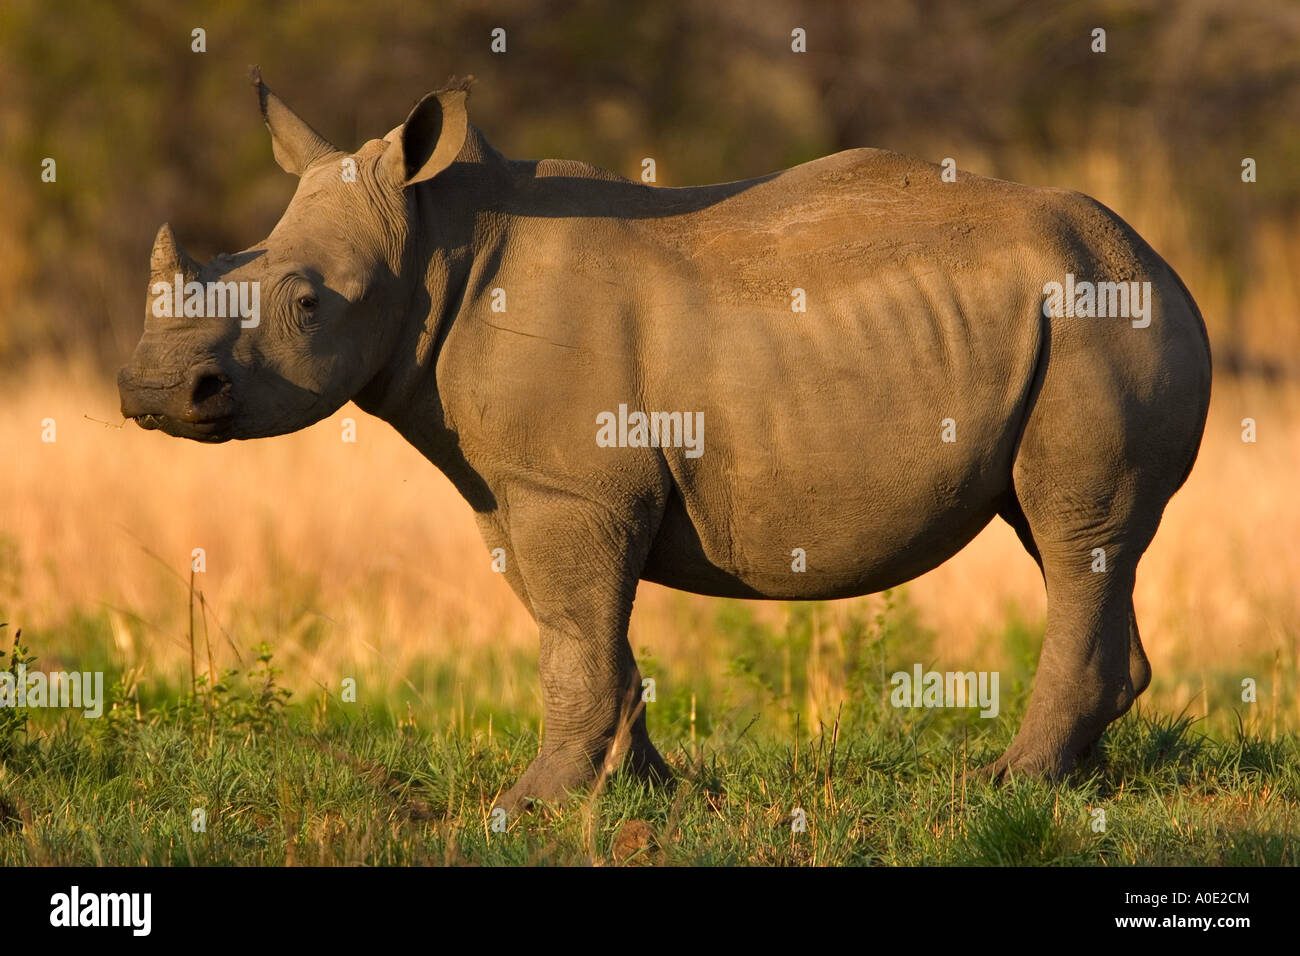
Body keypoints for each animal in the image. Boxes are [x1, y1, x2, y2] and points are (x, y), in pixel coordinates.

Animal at [119, 72, 1212, 812]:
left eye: (306, 304)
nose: (152, 390)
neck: (436, 241)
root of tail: (1164, 260)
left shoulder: (572, 488)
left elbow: (574, 630)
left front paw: (531, 804)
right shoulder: (515, 484)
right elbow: (581, 631)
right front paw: (641, 790)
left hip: (1103, 317)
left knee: (1073, 534)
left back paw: (1007, 783)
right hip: (1081, 310)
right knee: (1074, 543)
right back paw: (1077, 781)